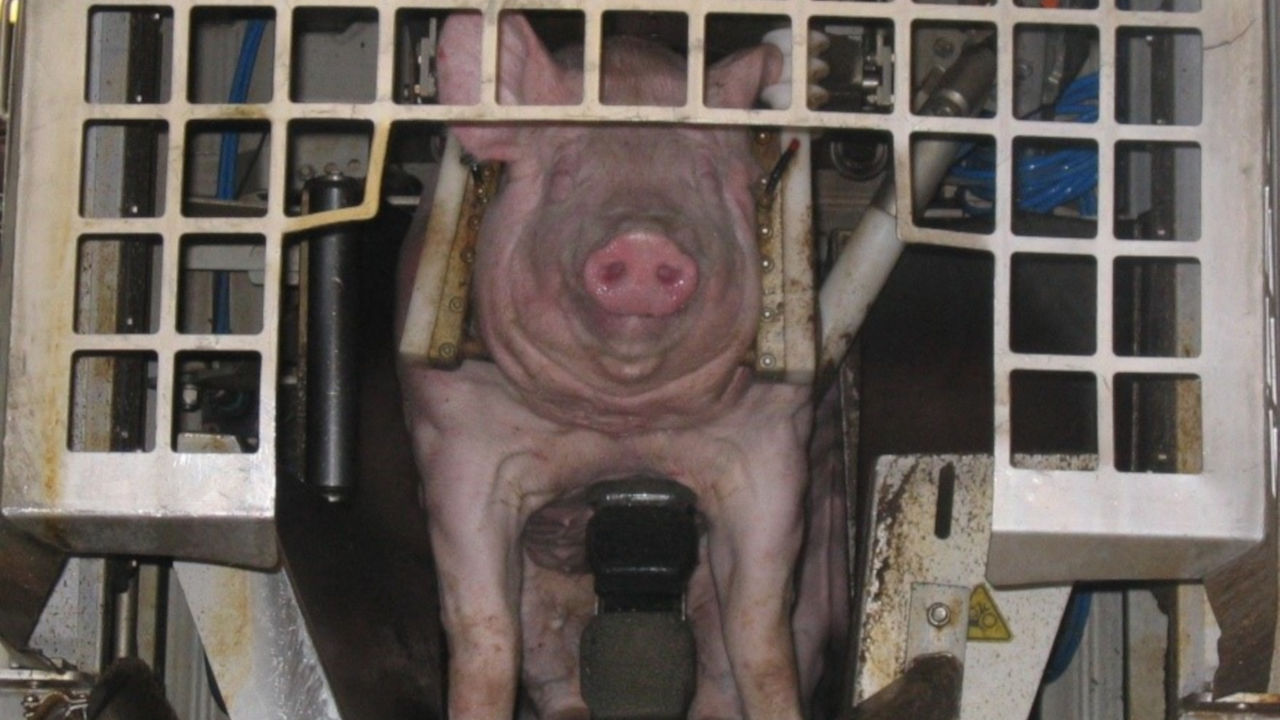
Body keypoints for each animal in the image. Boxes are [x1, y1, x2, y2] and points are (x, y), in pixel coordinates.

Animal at [397, 12, 844, 719]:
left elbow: (761, 629)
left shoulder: (774, 438)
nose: (642, 241)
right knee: (546, 660)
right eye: (564, 175)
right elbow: (485, 633)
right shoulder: (454, 434)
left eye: (707, 178)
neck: (620, 429)